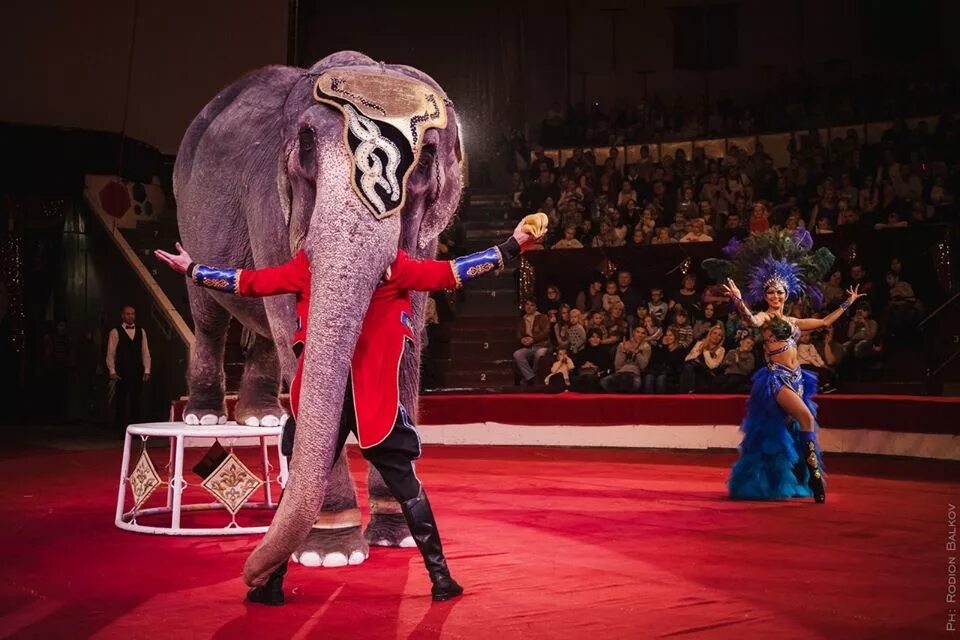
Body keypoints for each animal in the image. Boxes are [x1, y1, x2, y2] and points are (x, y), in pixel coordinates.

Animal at [172, 50, 464, 580]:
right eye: (306, 144)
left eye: (428, 158)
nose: (252, 574)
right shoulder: (271, 203)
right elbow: (297, 329)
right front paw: (331, 554)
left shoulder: (425, 239)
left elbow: (406, 340)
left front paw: (395, 538)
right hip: (189, 211)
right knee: (210, 318)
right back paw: (204, 417)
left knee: (266, 334)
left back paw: (260, 418)